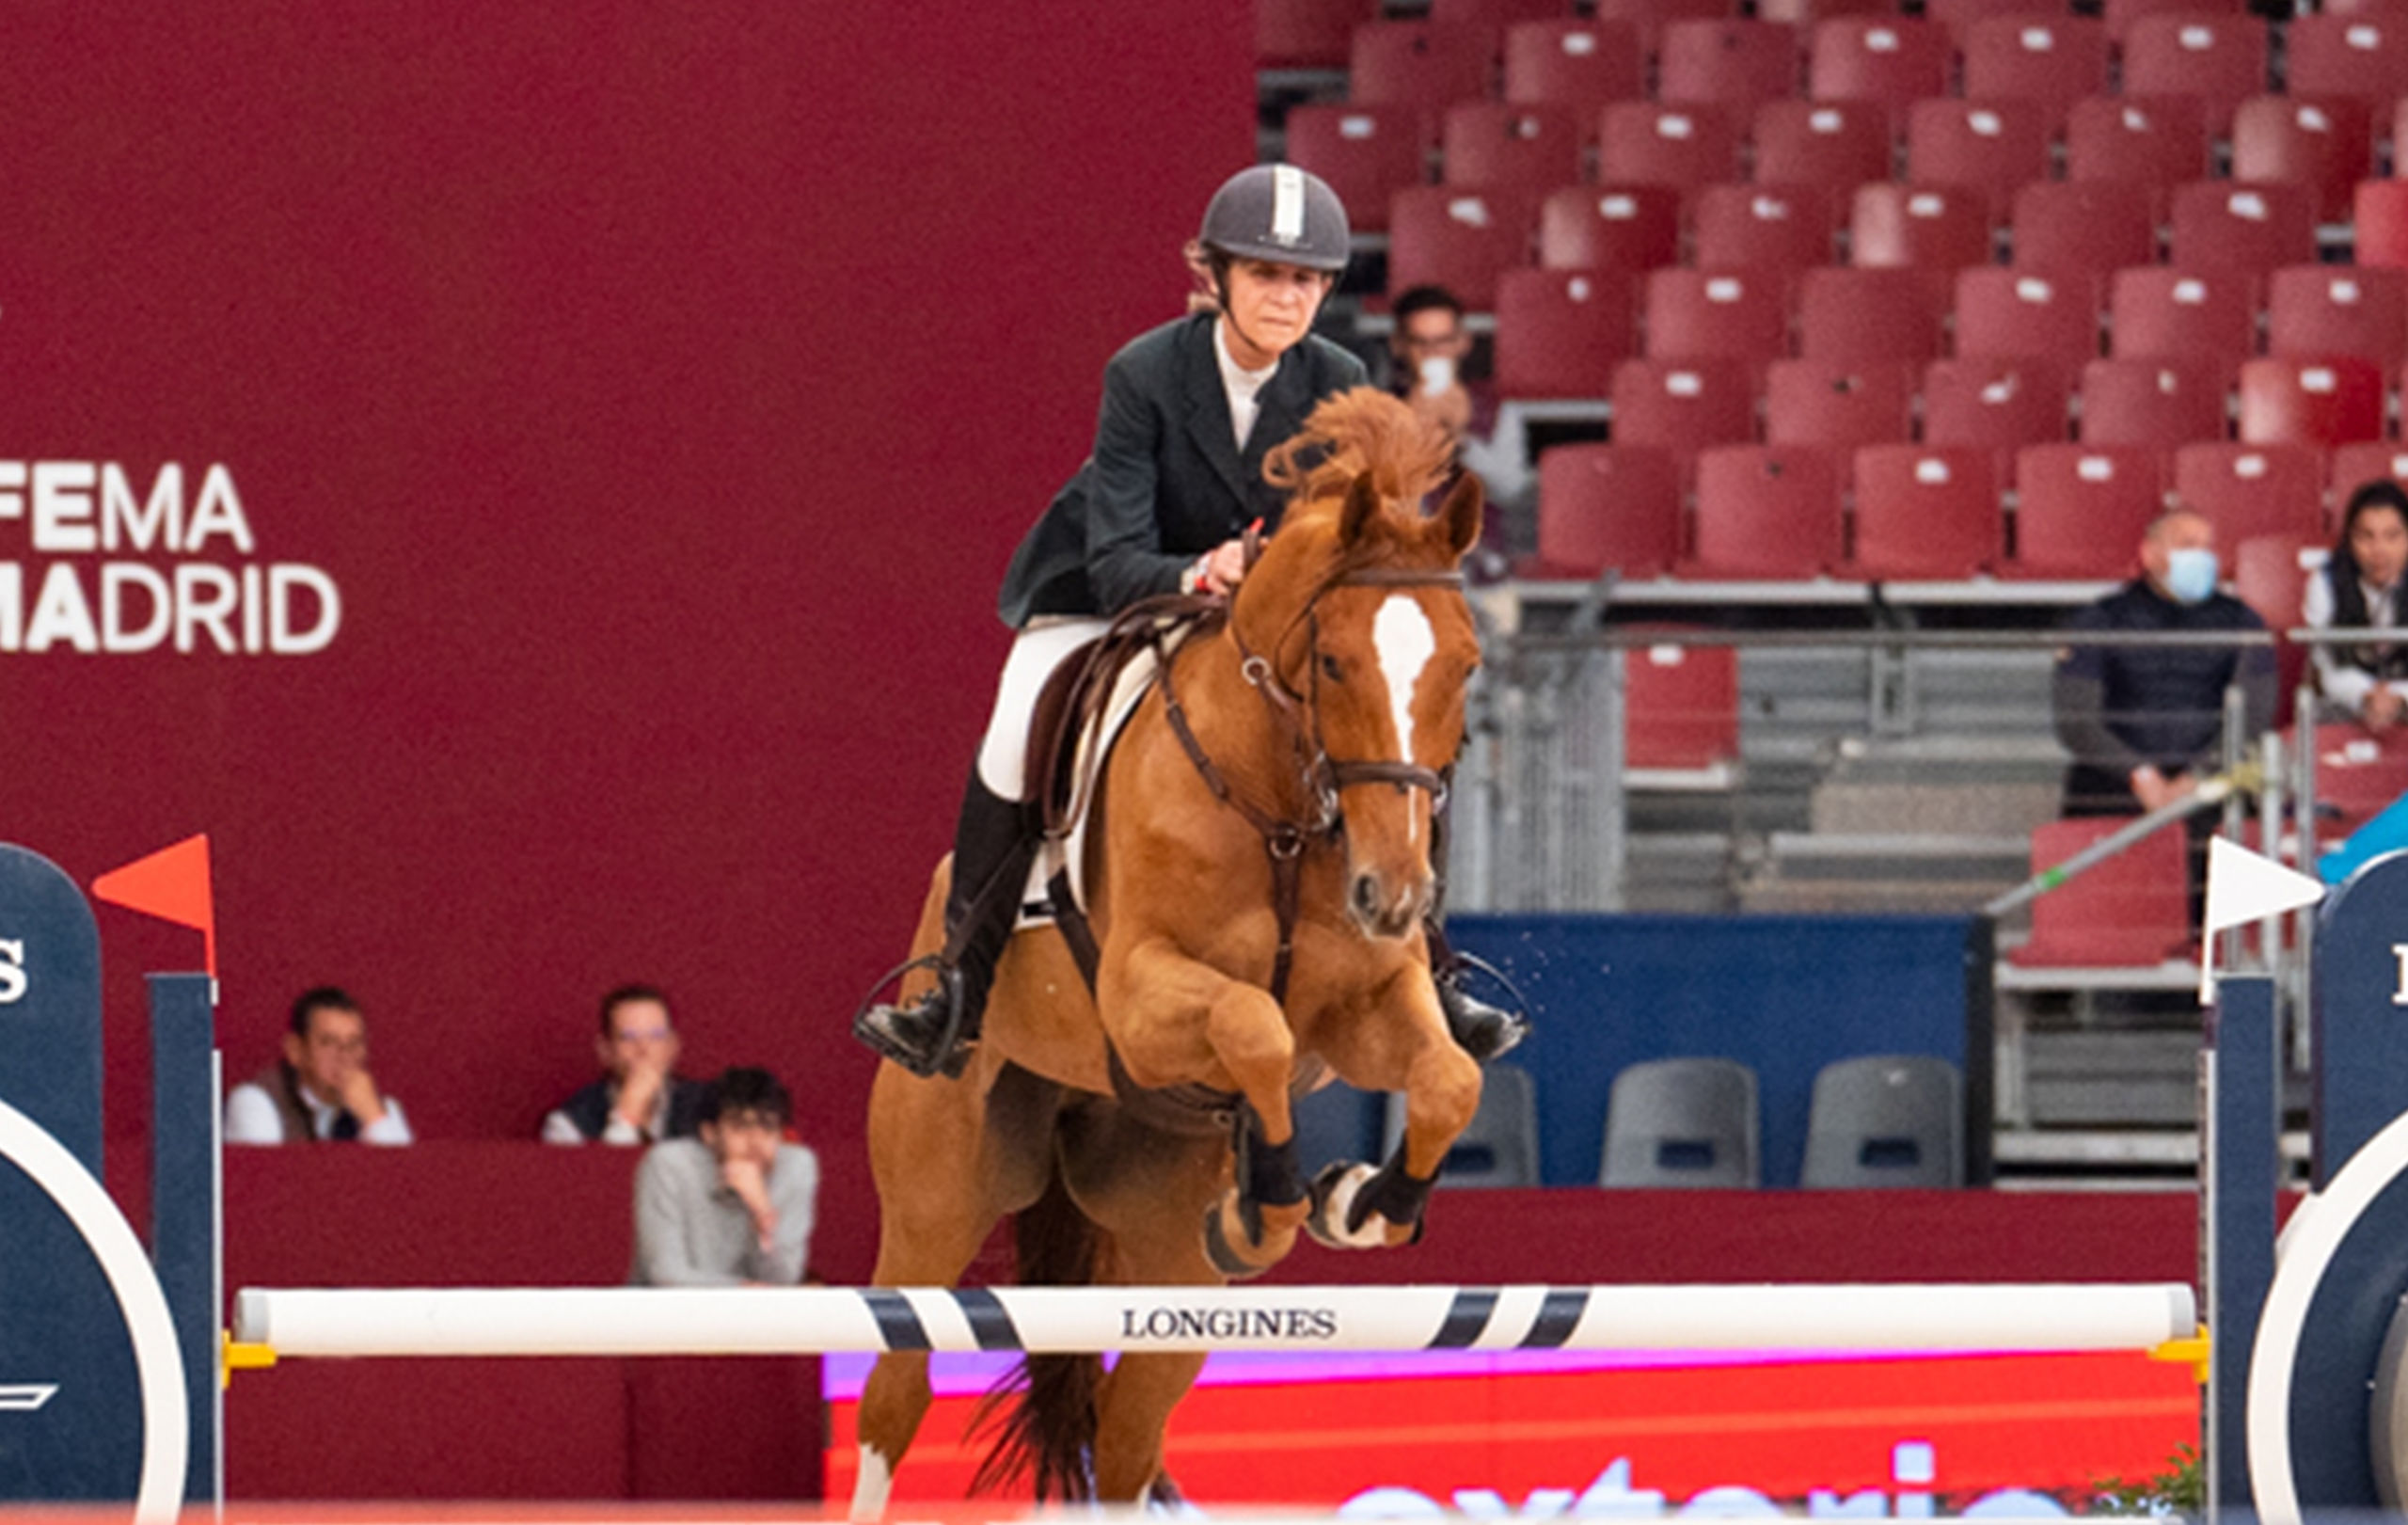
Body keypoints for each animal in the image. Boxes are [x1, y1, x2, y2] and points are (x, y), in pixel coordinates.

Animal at [851, 387, 1488, 1513]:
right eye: (1334, 662)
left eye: (1465, 666)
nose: (1394, 894)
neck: (1280, 804)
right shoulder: (1141, 1000)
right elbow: (1253, 1021)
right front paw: (1279, 1195)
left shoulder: (1368, 1002)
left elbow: (1449, 1077)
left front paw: (1359, 1202)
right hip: (937, 1193)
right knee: (896, 1390)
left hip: (1159, 1248)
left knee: (1129, 1425)